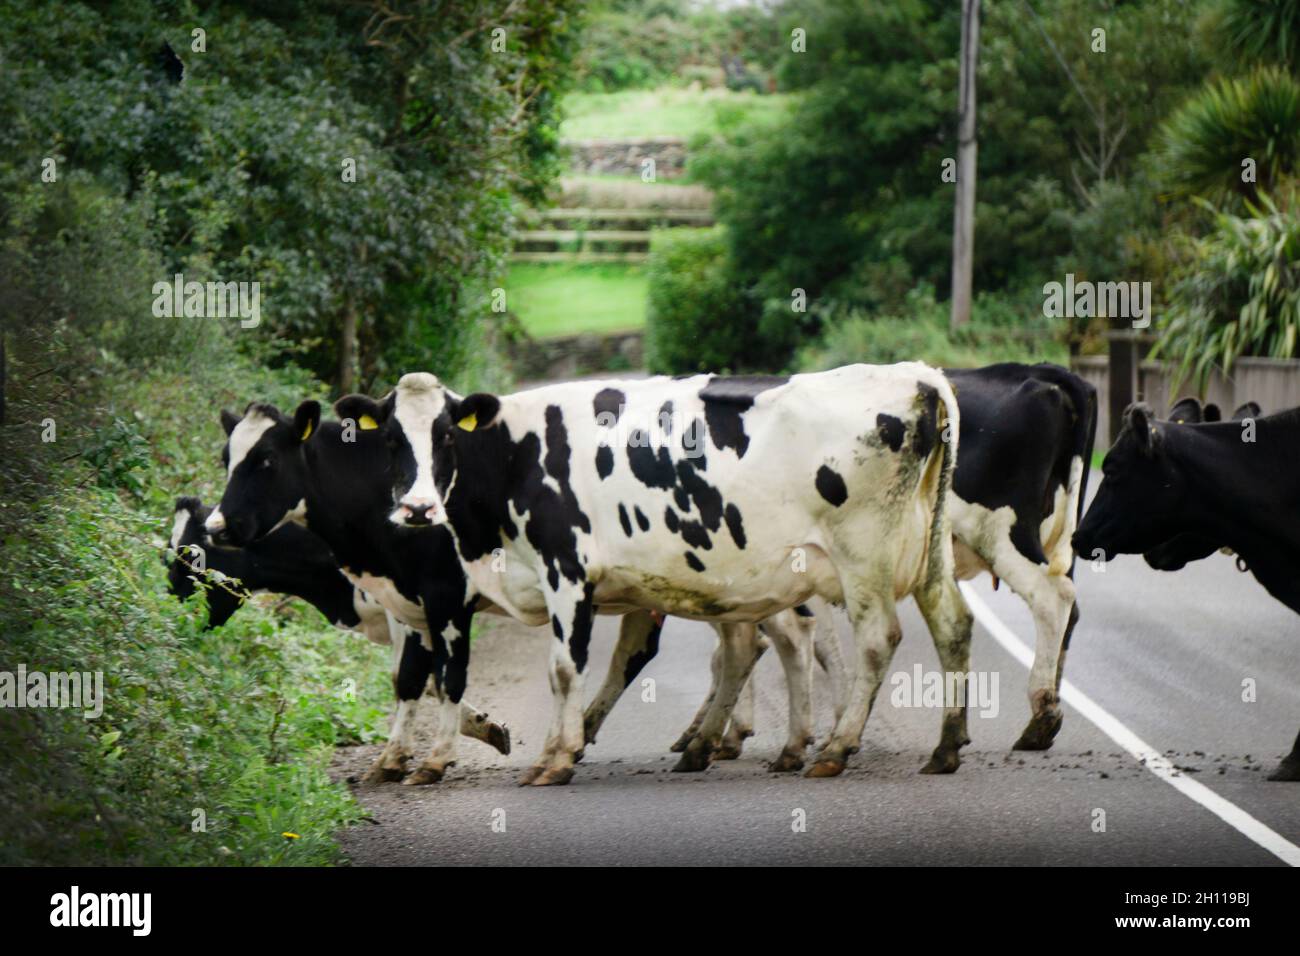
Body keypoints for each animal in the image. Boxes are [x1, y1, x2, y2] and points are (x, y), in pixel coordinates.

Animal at [164, 496, 510, 780]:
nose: (173, 619)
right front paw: (480, 724)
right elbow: (426, 678)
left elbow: (410, 676)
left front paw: (397, 759)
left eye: (192, 558)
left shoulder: (412, 609)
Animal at [202, 402, 824, 782]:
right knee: (712, 648)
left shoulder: (443, 596)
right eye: (226, 457)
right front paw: (393, 759)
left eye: (265, 459)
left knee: (773, 640)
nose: (219, 524)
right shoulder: (414, 604)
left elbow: (447, 677)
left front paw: (439, 756)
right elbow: (410, 679)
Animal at [334, 365, 973, 785]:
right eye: (390, 440)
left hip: (863, 555)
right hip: (929, 553)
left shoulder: (566, 570)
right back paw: (944, 748)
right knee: (952, 625)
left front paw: (554, 759)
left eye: (446, 435)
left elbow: (563, 668)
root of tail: (915, 375)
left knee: (877, 640)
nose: (418, 508)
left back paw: (836, 749)